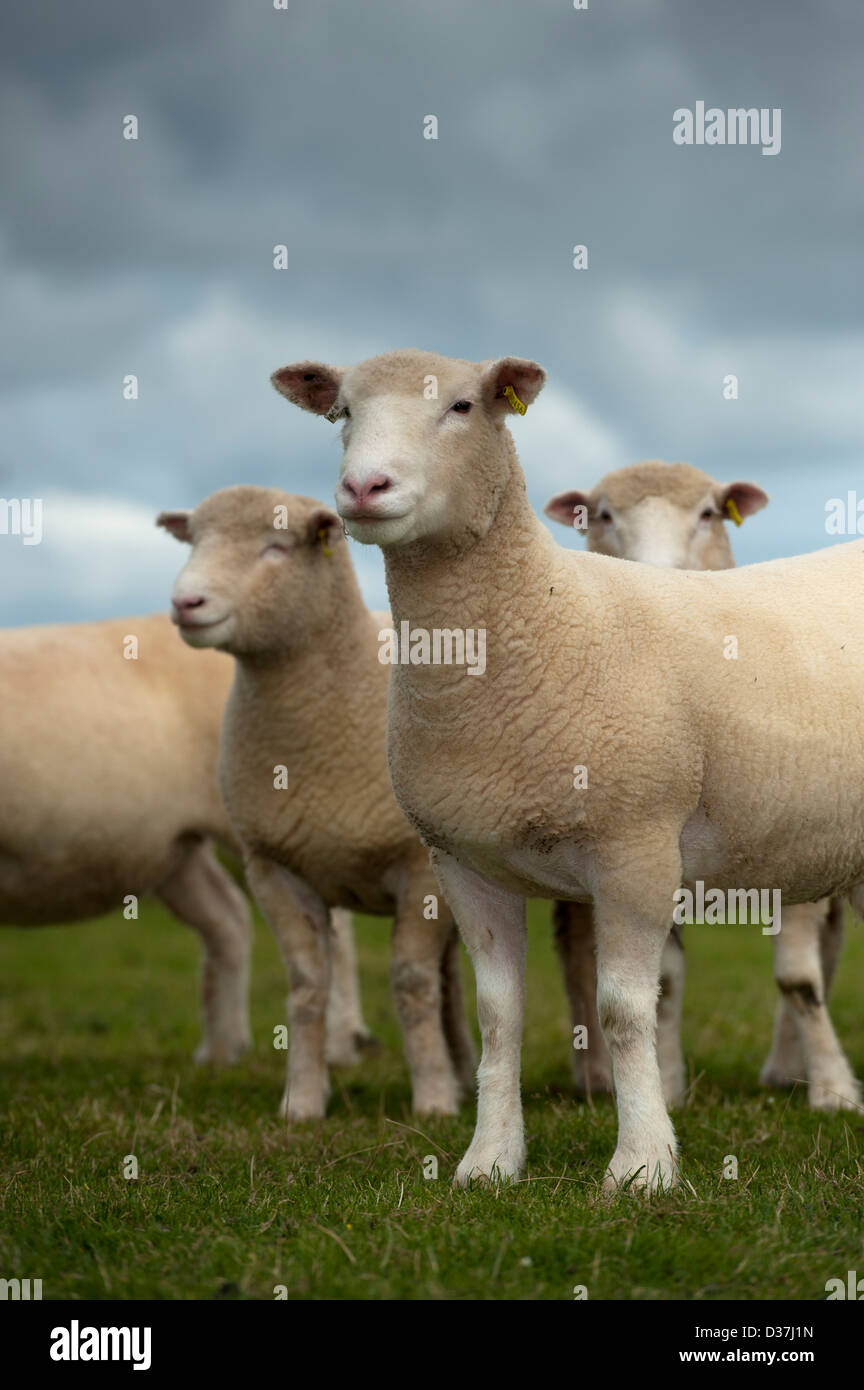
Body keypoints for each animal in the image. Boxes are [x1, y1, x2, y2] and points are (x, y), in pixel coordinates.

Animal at [158, 485, 476, 1119]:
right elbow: (307, 986)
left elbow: (411, 982)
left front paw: (432, 1098)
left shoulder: (417, 871)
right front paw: (302, 1100)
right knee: (450, 974)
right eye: (195, 540)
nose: (186, 602)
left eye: (277, 546)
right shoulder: (274, 867)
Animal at [545, 462, 855, 1113]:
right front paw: (665, 1086)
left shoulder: (804, 835)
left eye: (708, 514)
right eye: (603, 515)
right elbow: (664, 978)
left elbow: (799, 977)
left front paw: (835, 1090)